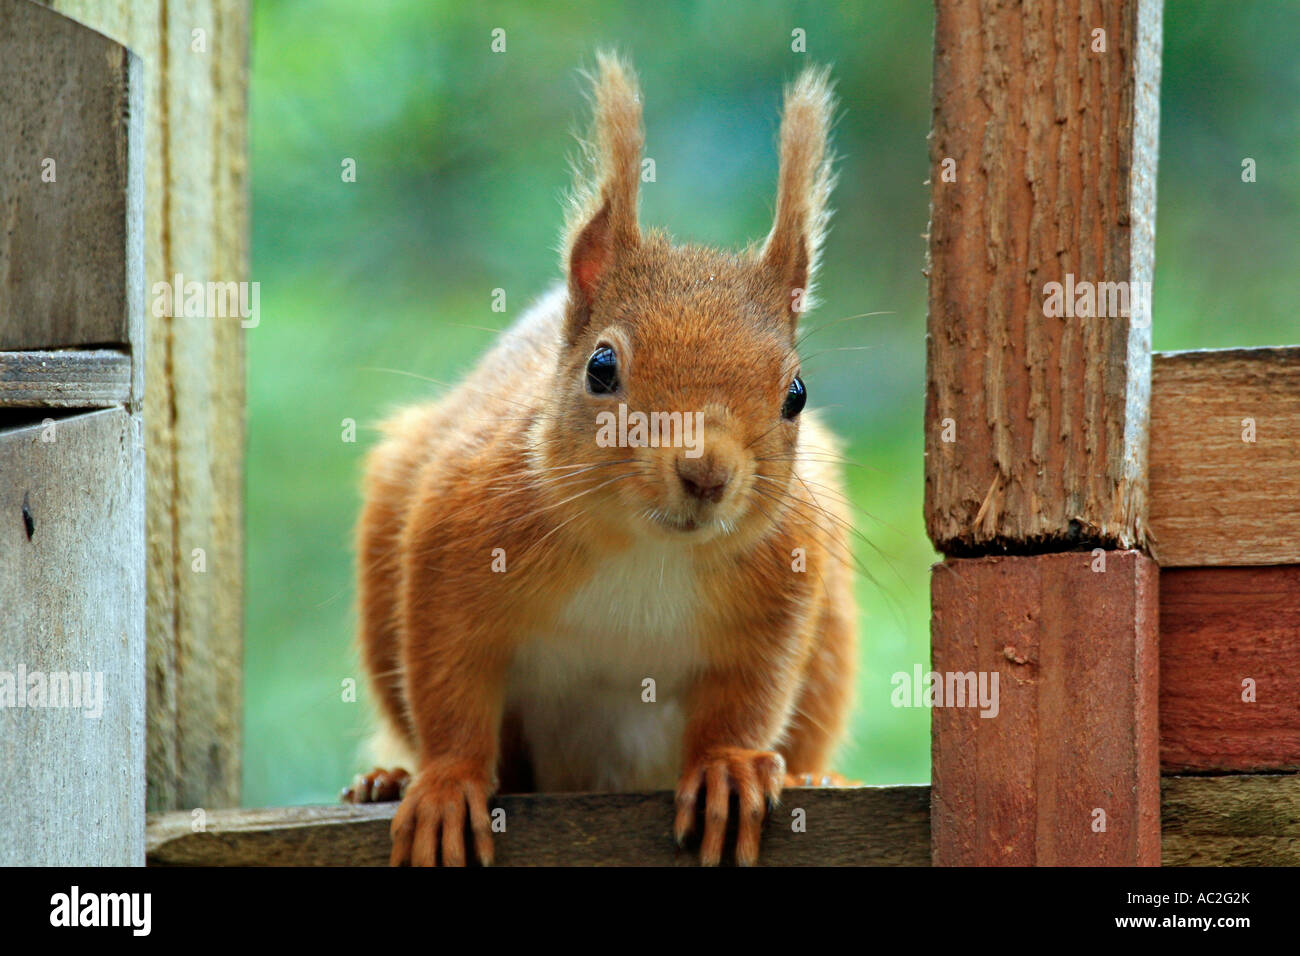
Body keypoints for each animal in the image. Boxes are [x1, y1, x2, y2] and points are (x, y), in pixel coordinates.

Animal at [347, 53, 857, 867]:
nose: (706, 475)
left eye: (797, 394)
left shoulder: (785, 578)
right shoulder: (455, 537)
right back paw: (388, 779)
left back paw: (816, 775)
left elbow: (751, 693)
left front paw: (728, 769)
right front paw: (445, 786)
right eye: (602, 367)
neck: (646, 551)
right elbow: (448, 677)